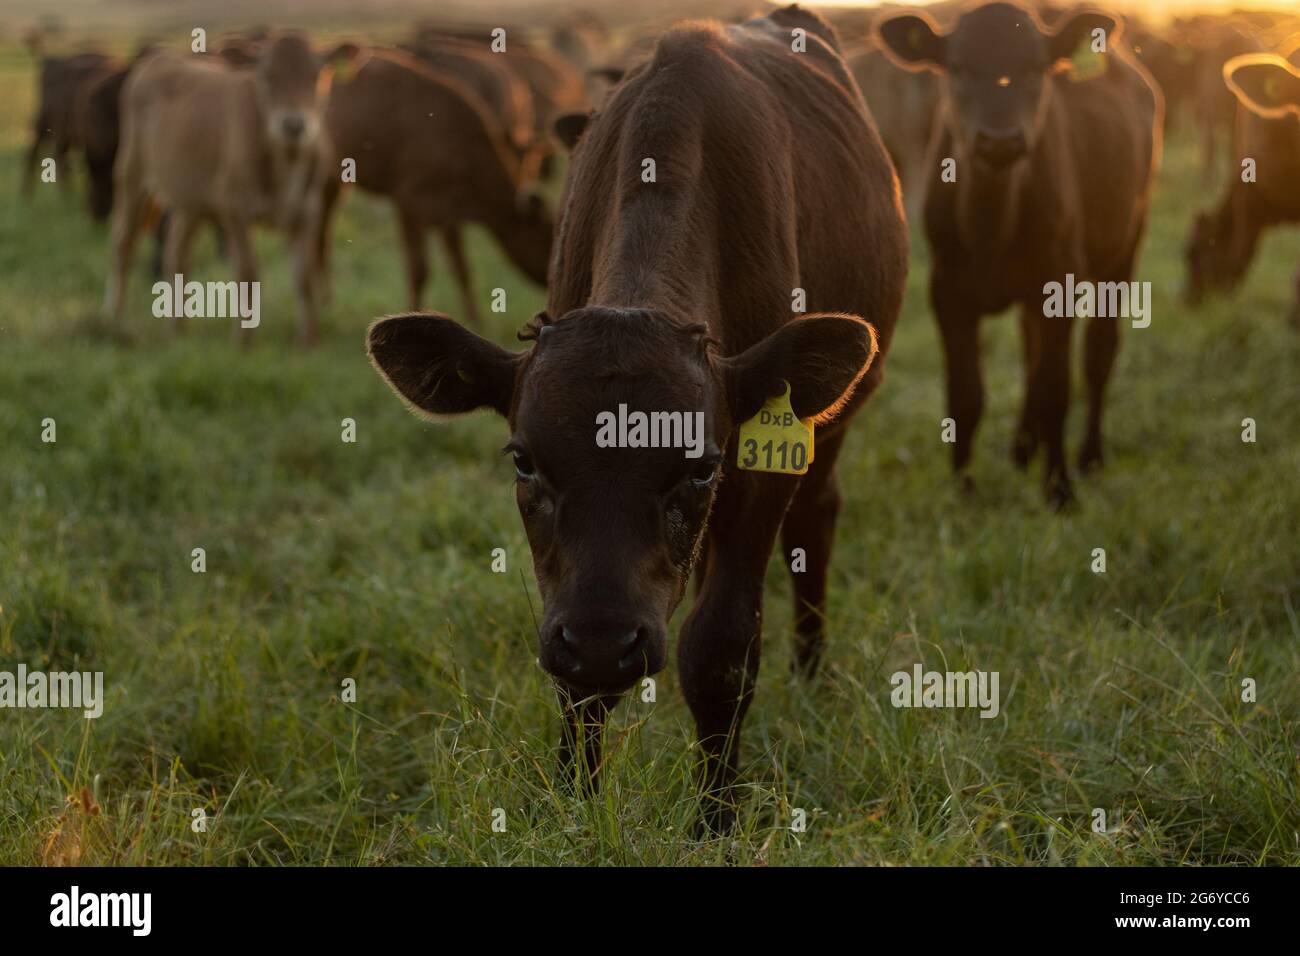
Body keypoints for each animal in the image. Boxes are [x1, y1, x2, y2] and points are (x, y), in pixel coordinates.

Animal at [104, 34, 363, 343]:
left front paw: (308, 340)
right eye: (268, 76)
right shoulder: (235, 210)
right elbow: (248, 272)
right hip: (132, 177)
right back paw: (115, 318)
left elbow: (304, 275)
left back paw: (178, 329)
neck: (284, 162)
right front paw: (244, 340)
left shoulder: (308, 211)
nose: (293, 124)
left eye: (316, 75)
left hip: (191, 200)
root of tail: (159, 59)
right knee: (123, 245)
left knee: (177, 253)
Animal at [315, 49, 554, 324]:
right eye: (547, 236)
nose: (550, 282)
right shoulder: (409, 206)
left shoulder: (449, 216)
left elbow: (462, 268)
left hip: (335, 183)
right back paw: (325, 301)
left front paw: (477, 319)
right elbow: (419, 269)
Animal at [366, 5, 907, 834]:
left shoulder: (757, 464)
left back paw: (813, 675)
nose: (602, 641)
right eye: (522, 459)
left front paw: (716, 817)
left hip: (833, 425)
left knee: (816, 520)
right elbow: (575, 685)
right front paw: (572, 802)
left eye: (702, 465)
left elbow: (719, 646)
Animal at [878, 2, 1161, 509]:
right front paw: (964, 488)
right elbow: (965, 393)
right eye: (958, 67)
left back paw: (1089, 456)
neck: (991, 227)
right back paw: (1022, 449)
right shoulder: (946, 291)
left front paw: (1059, 488)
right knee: (1032, 351)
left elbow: (1056, 388)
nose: (999, 140)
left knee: (1099, 353)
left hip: (1126, 242)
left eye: (1034, 68)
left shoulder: (1058, 283)